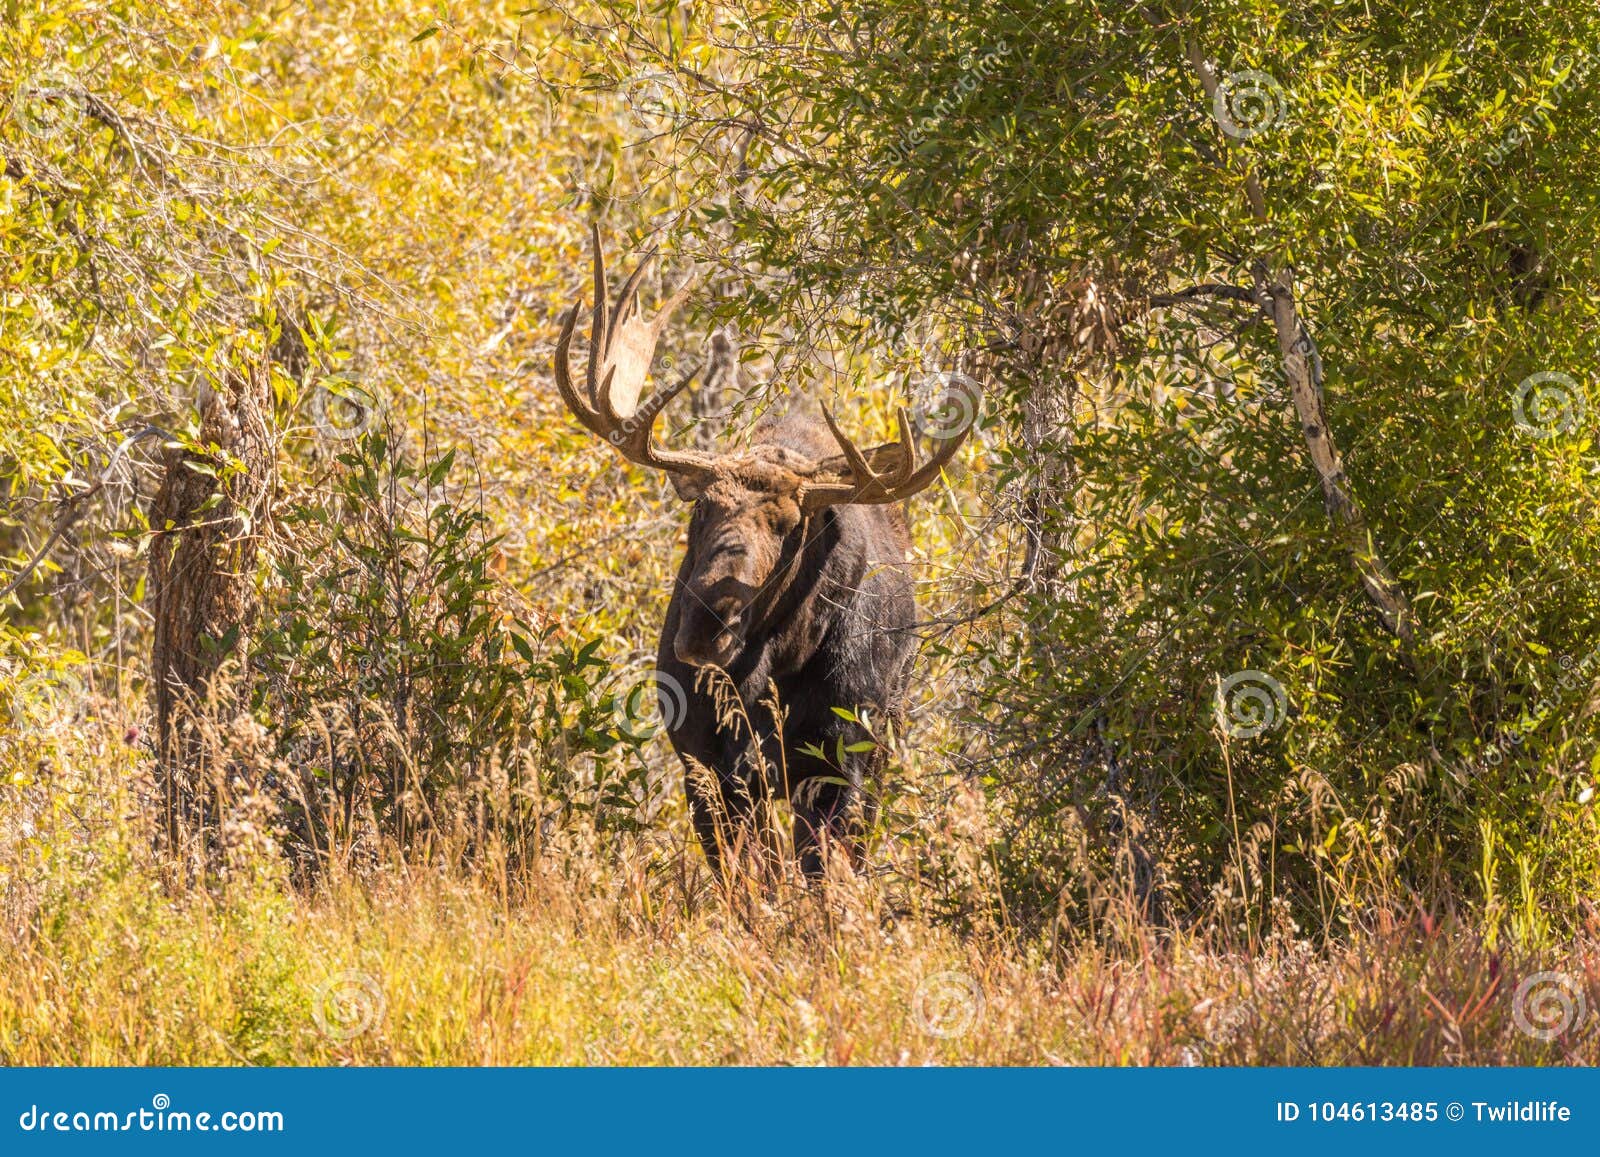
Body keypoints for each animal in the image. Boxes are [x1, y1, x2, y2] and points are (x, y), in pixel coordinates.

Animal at [553, 227, 976, 878]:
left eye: (790, 527)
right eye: (701, 509)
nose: (706, 626)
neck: (768, 671)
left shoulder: (841, 762)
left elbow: (819, 873)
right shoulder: (703, 764)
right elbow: (748, 876)